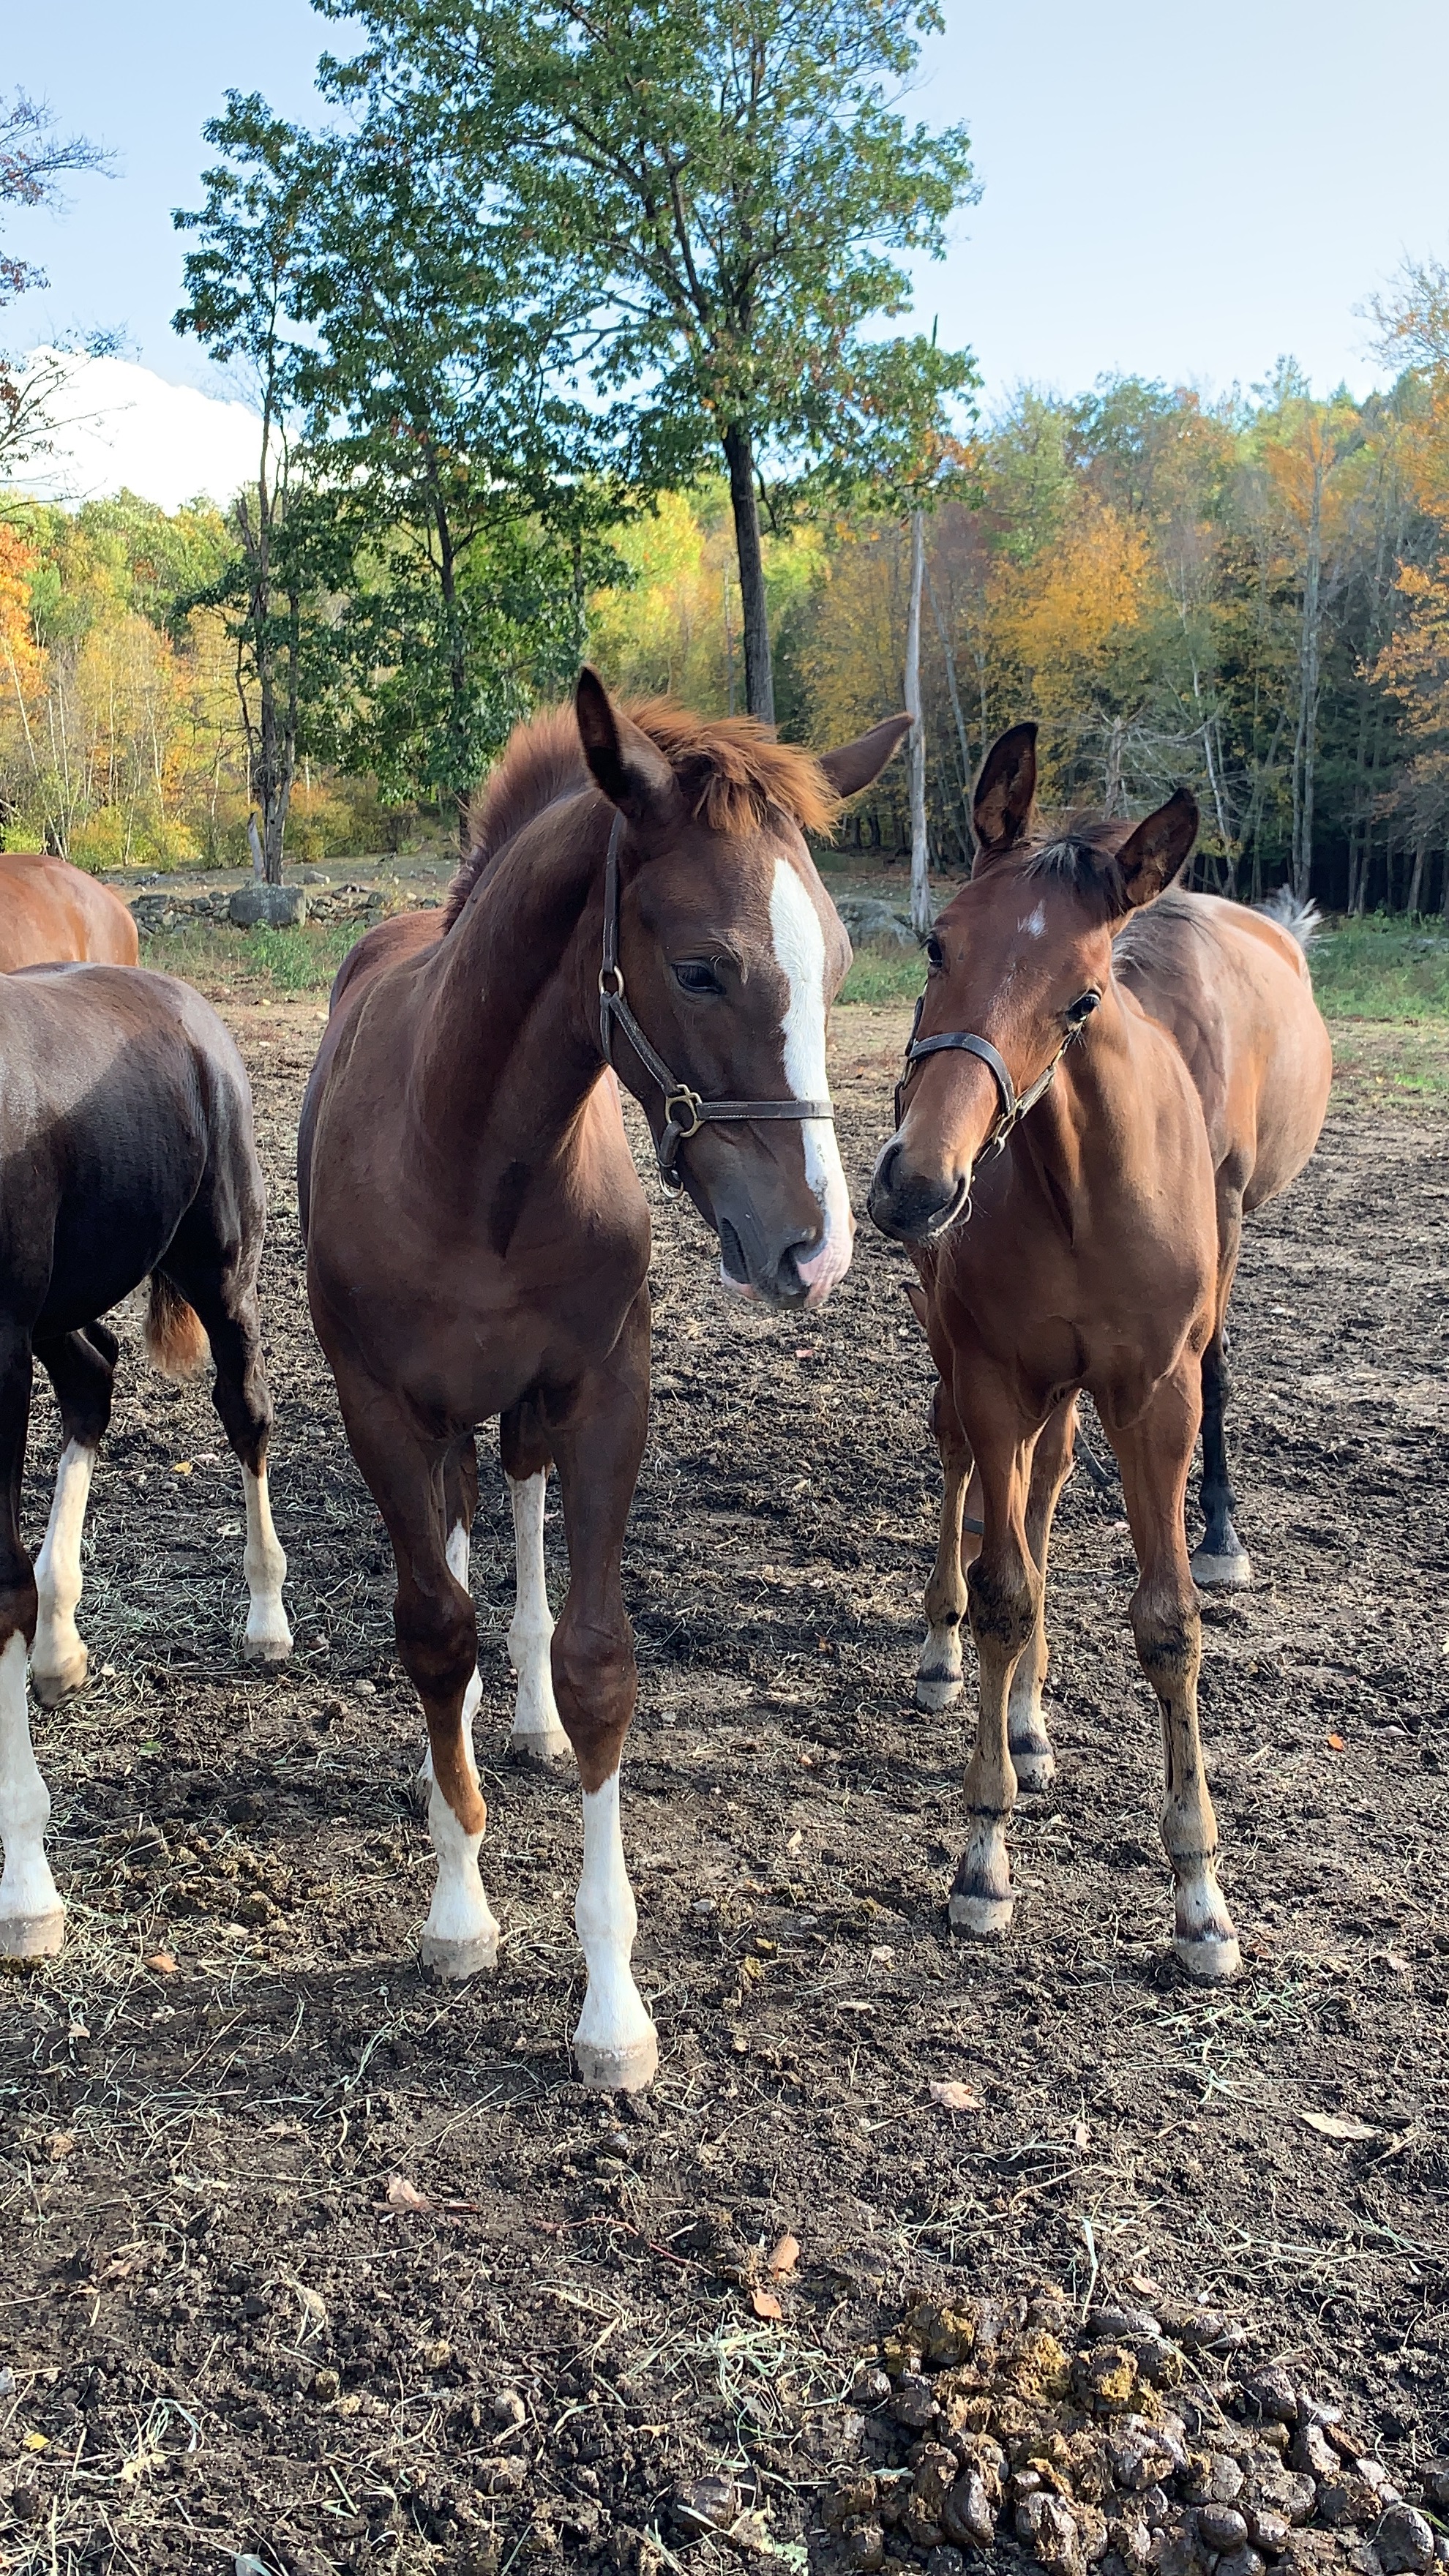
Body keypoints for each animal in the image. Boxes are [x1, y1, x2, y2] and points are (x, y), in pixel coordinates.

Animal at [0, 965, 292, 1961]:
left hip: (220, 1267)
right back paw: (60, 1647)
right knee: (93, 1378)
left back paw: (267, 1618)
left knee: (244, 1411)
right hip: (59, 1304)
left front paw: (27, 1896)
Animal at [298, 669, 908, 2091]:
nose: (815, 1249)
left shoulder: (603, 1391)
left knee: (510, 1507)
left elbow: (595, 1663)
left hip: (522, 1411)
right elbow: (431, 1629)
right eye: (701, 968)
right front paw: (458, 1907)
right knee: (453, 1556)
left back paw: (513, 1725)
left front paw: (613, 2006)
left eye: (839, 965)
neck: (470, 1157)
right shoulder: (378, 1405)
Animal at [867, 724, 1331, 1979]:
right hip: (975, 1370)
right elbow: (1004, 1588)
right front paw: (982, 1859)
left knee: (1043, 1488)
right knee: (975, 1489)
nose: (917, 1184)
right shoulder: (991, 1375)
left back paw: (1031, 1723)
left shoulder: (1153, 1395)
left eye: (1081, 999)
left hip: (1075, 1394)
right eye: (936, 941)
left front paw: (1201, 1897)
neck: (1078, 1187)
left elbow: (1167, 1623)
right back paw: (954, 1666)